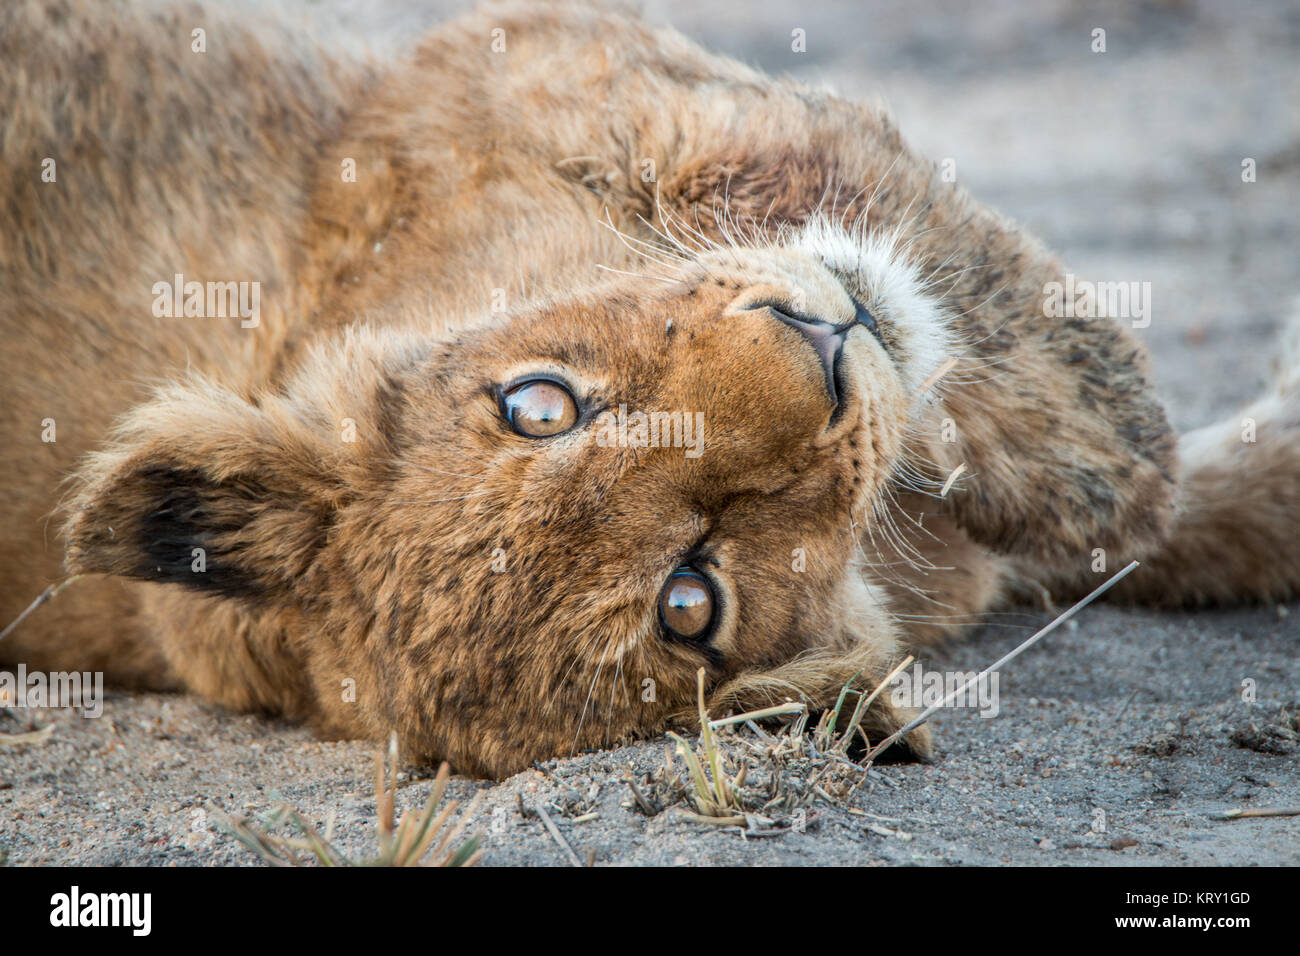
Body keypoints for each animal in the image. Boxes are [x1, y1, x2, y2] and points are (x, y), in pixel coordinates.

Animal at [1, 0, 1297, 778]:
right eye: (690, 599)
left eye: (538, 403)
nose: (823, 344)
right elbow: (1148, 503)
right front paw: (1125, 469)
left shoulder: (505, 63)